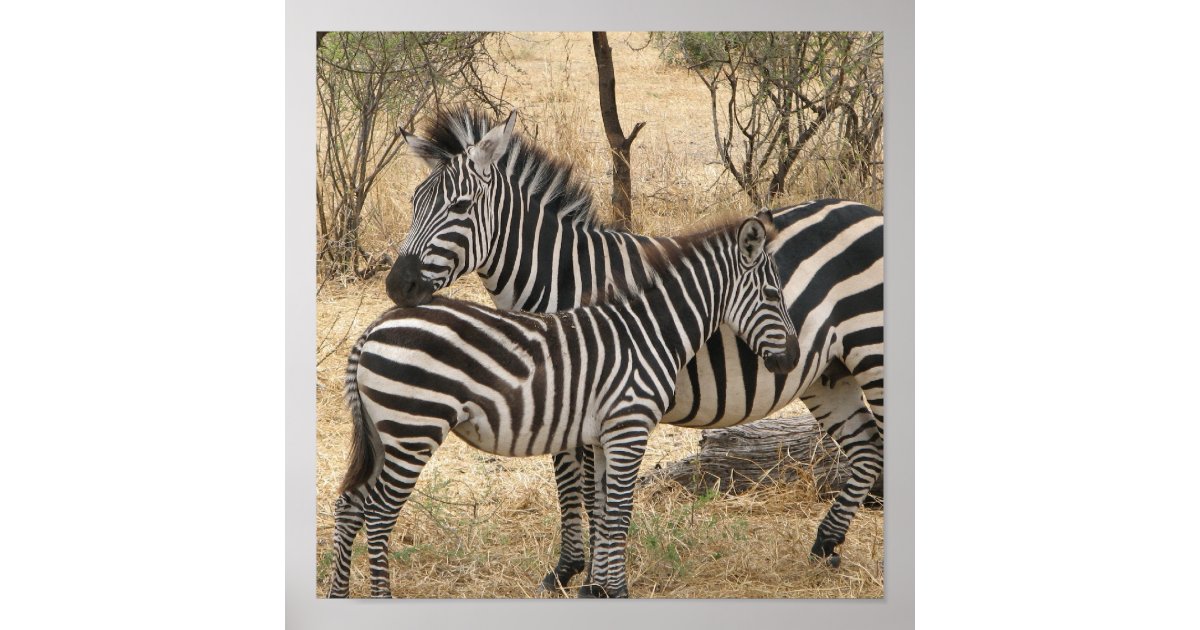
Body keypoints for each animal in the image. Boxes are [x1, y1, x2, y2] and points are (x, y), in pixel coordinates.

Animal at [328, 215, 799, 598]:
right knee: (378, 514)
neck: (649, 331)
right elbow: (618, 512)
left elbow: (604, 508)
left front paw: (600, 589)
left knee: (350, 505)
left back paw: (339, 595)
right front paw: (615, 591)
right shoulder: (629, 426)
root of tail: (373, 328)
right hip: (413, 427)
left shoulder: (609, 434)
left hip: (385, 433)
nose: (793, 358)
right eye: (773, 294)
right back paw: (382, 598)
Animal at [386, 107, 884, 589]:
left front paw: (592, 578)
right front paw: (568, 570)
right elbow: (568, 483)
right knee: (865, 446)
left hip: (873, 354)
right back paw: (826, 544)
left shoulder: (590, 395)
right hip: (827, 373)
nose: (397, 285)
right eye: (412, 203)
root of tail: (867, 211)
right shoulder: (560, 399)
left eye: (460, 206)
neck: (566, 278)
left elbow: (591, 491)